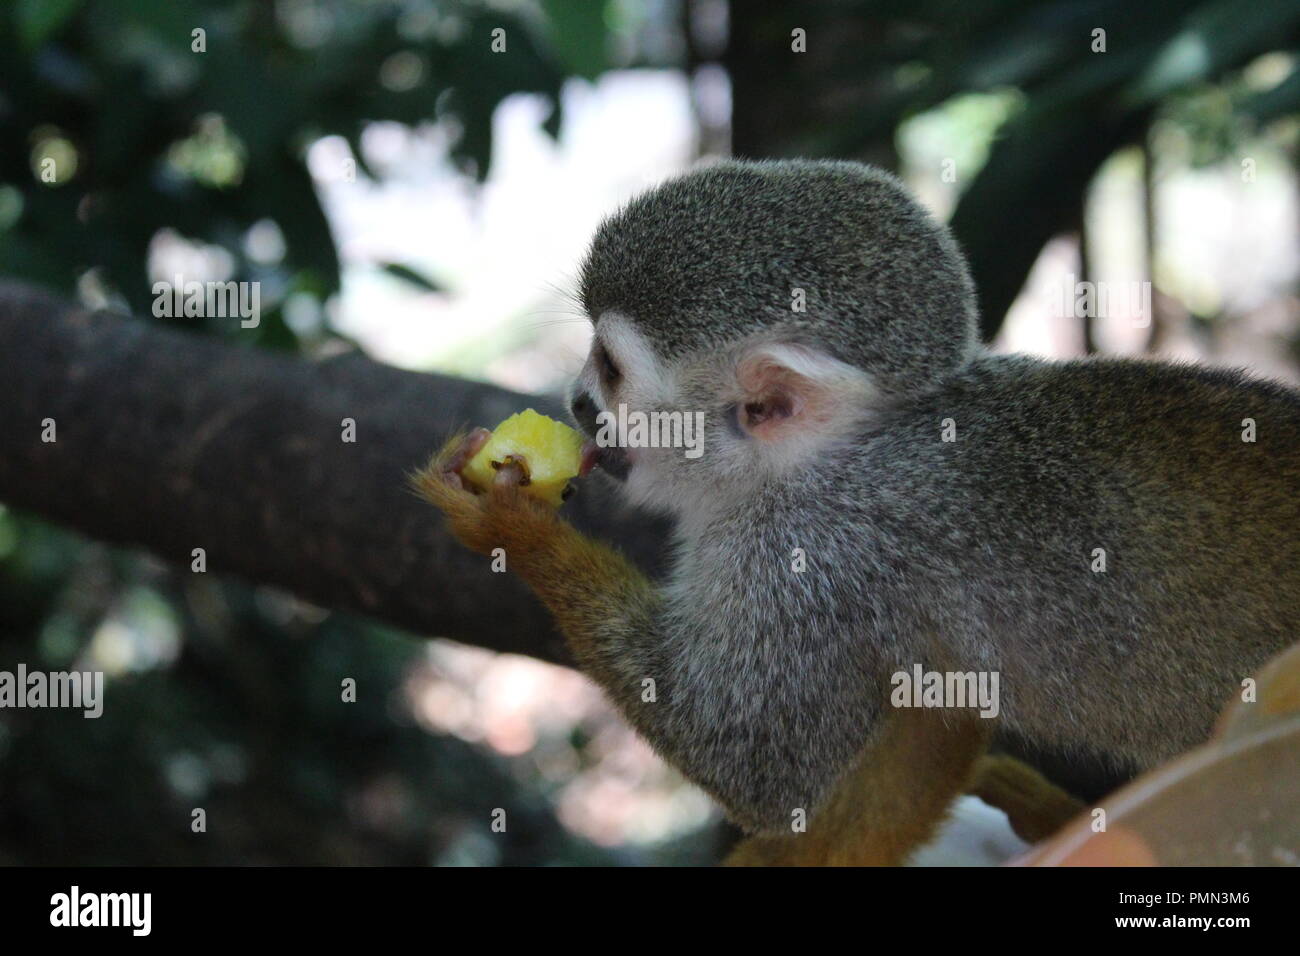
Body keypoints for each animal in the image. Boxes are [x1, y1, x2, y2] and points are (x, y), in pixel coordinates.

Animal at [416, 159, 1300, 865]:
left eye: (608, 369)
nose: (575, 401)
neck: (840, 454)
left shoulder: (810, 559)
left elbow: (756, 766)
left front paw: (512, 526)